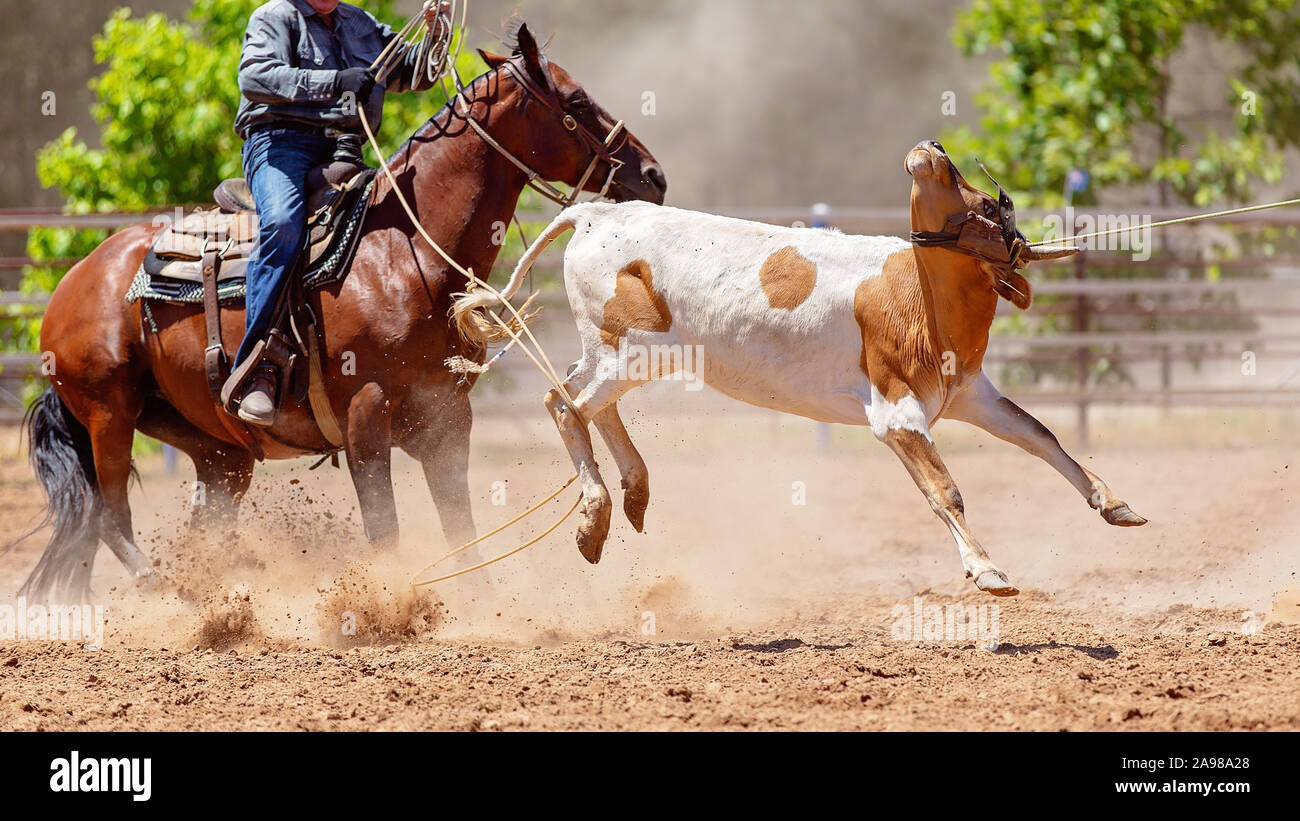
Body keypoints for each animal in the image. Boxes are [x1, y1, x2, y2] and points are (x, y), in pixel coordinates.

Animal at [12, 22, 666, 602]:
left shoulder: (447, 418)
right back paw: (169, 595)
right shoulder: (364, 418)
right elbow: (386, 531)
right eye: (575, 100)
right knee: (111, 517)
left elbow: (460, 525)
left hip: (215, 449)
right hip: (108, 413)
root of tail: (78, 278)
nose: (652, 175)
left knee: (203, 527)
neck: (404, 251)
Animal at [454, 140, 1147, 597]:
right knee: (563, 404)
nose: (932, 147)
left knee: (580, 400)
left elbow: (1041, 436)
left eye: (982, 202)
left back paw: (634, 489)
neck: (919, 300)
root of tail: (600, 212)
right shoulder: (896, 416)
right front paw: (987, 570)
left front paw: (1114, 504)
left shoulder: (970, 395)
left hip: (628, 356)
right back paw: (594, 518)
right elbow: (945, 489)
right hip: (628, 350)